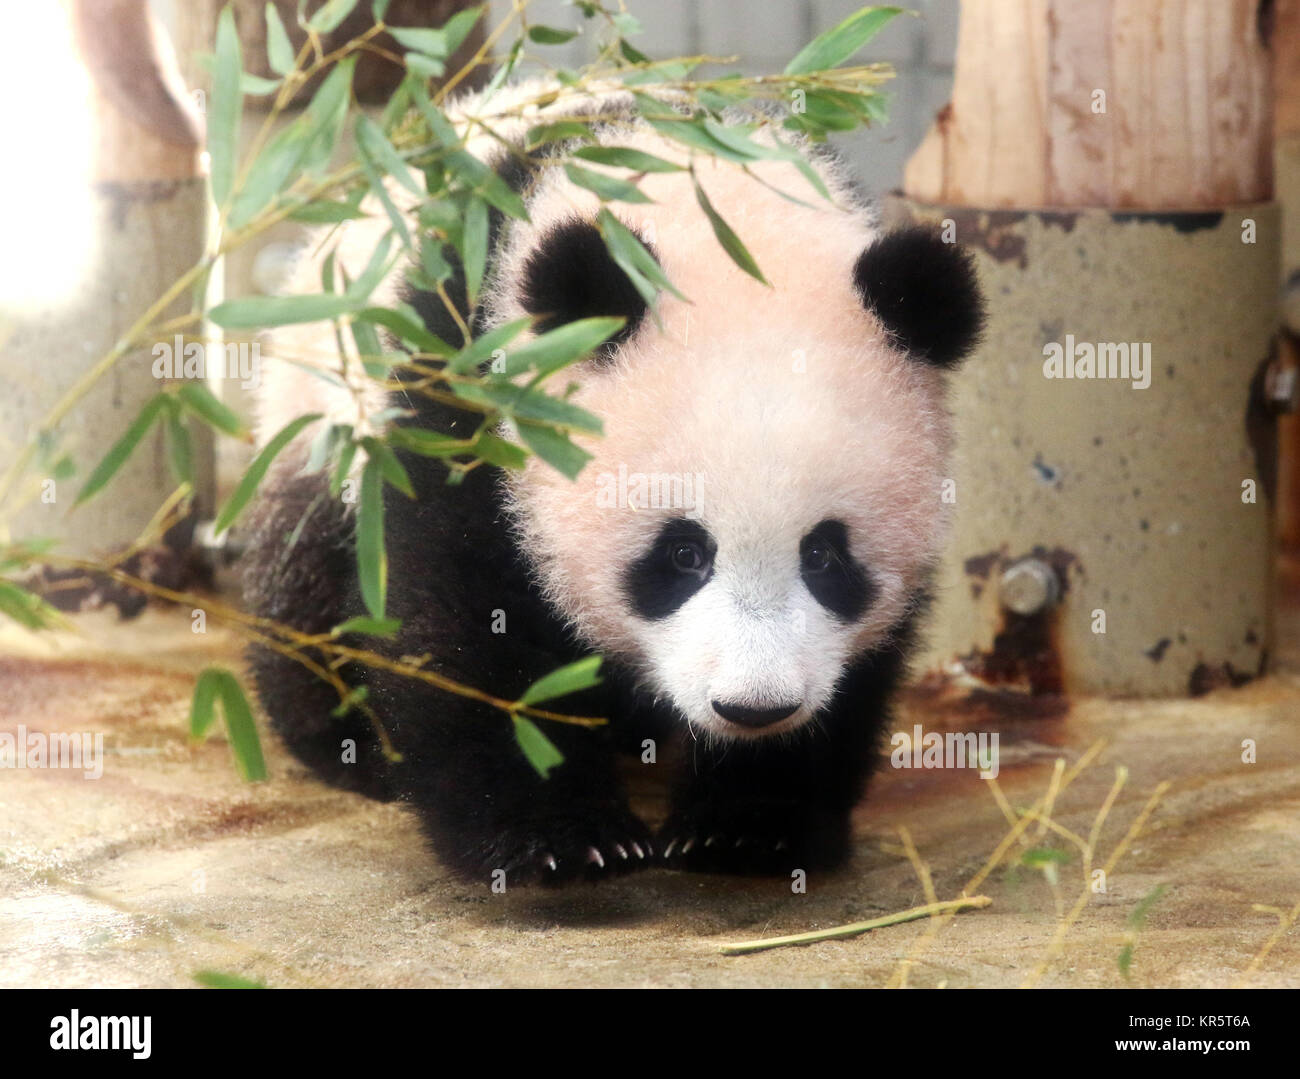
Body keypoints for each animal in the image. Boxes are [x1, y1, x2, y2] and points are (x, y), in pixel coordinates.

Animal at [240, 80, 985, 886]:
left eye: (824, 556)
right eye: (683, 553)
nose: (753, 708)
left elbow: (853, 674)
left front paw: (749, 828)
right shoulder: (464, 390)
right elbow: (459, 614)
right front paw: (558, 839)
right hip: (317, 429)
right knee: (305, 577)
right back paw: (349, 743)